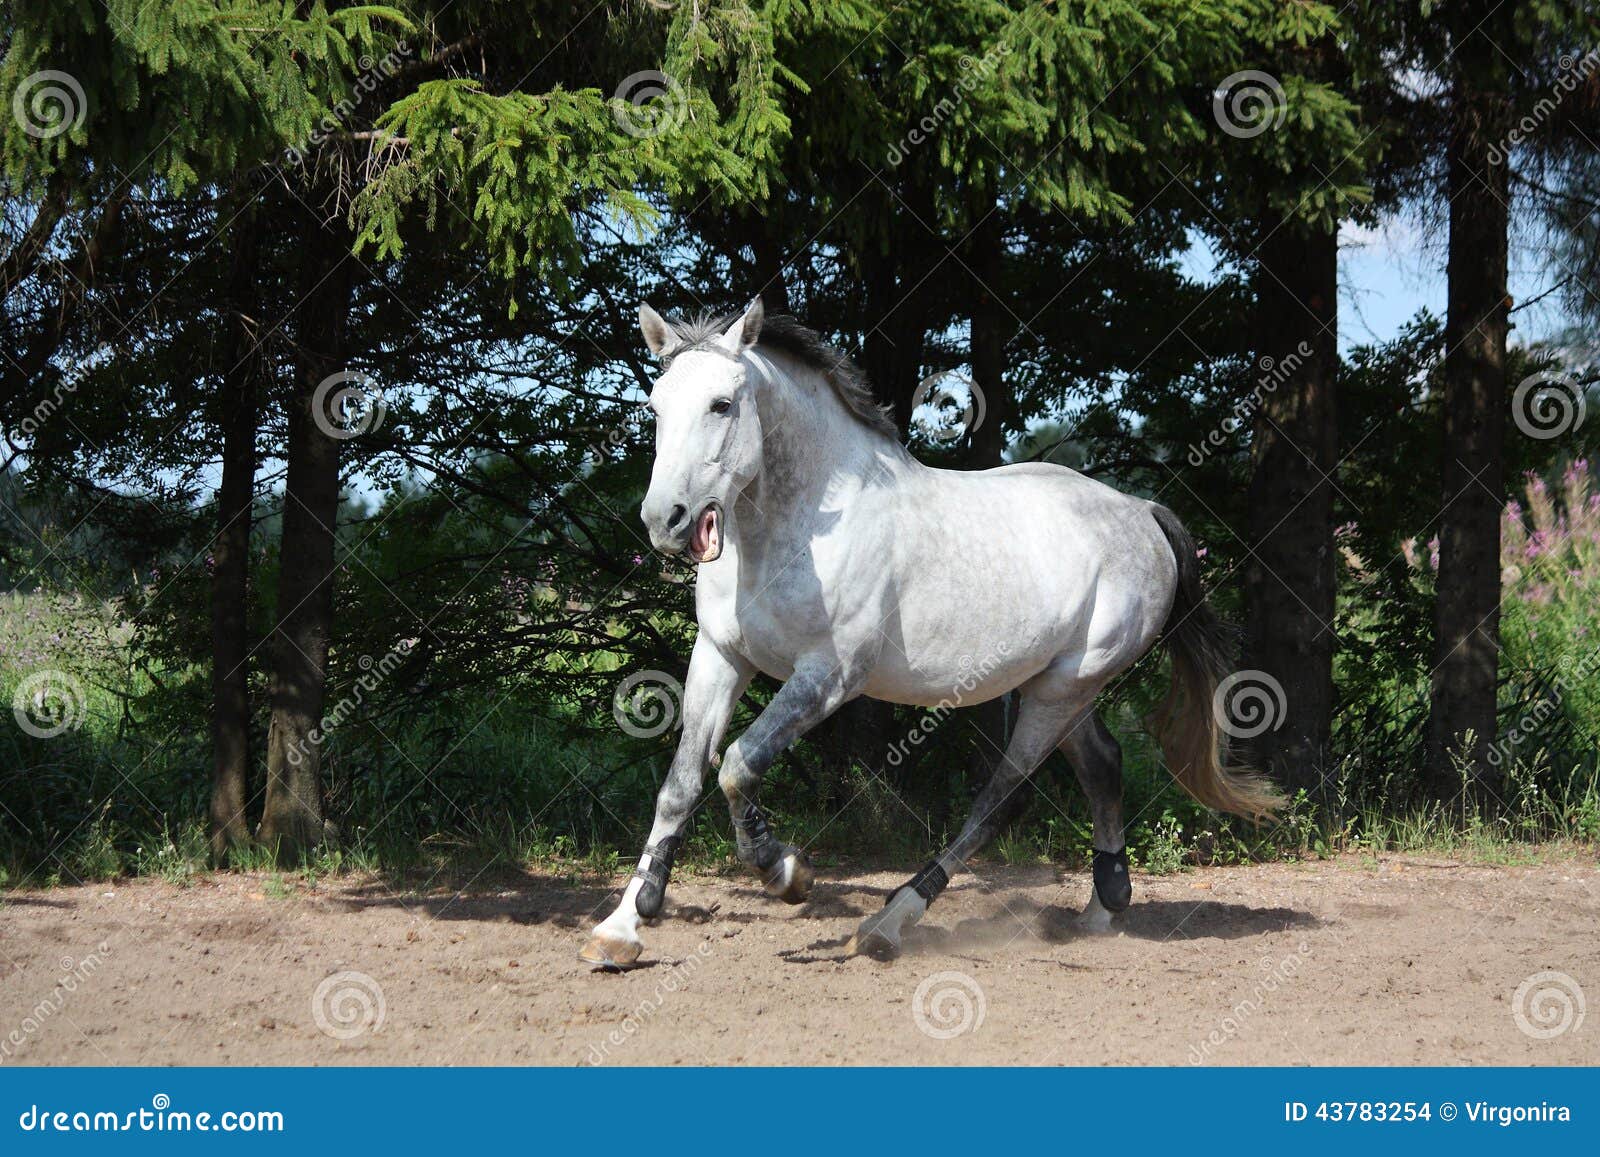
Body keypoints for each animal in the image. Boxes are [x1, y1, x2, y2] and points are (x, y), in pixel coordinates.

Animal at [579, 299, 1281, 968]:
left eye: (722, 404)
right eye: (655, 406)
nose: (665, 521)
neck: (793, 530)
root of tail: (1143, 513)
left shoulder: (829, 676)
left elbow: (737, 767)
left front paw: (788, 874)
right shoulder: (722, 657)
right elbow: (679, 785)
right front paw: (620, 929)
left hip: (1061, 690)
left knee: (1000, 801)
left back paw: (888, 924)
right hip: (1061, 685)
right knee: (1102, 767)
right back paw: (1103, 909)